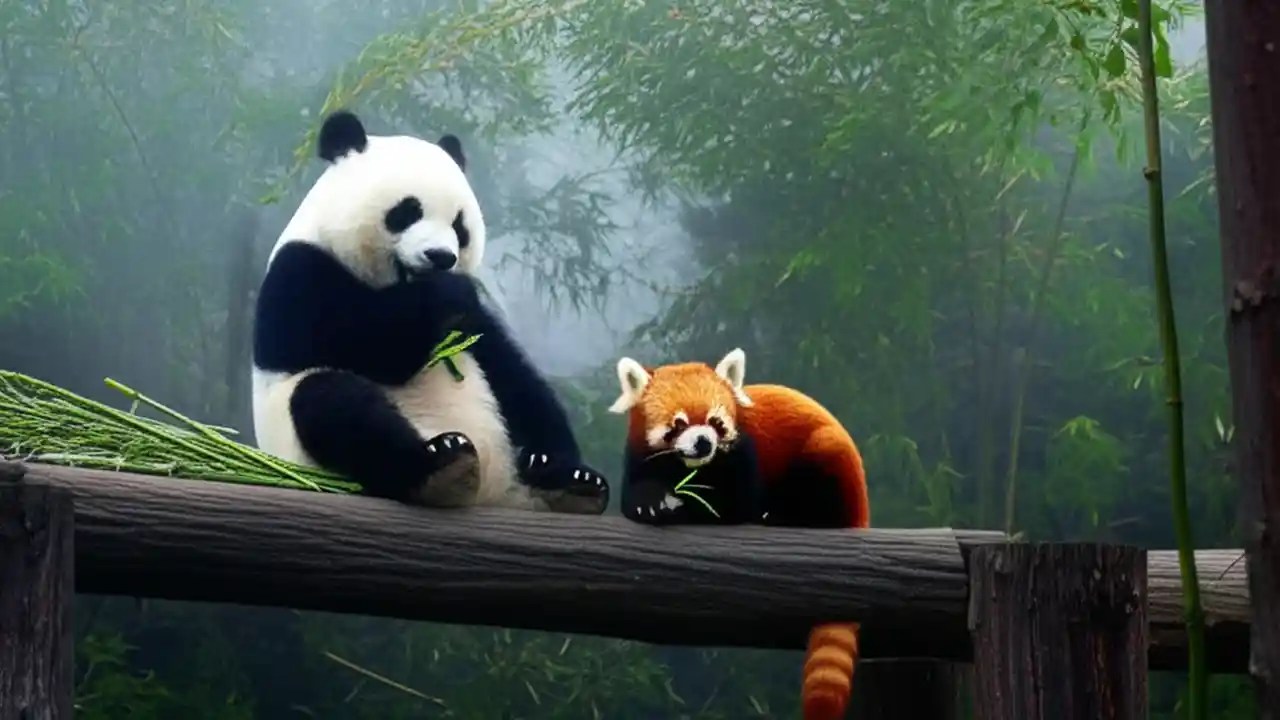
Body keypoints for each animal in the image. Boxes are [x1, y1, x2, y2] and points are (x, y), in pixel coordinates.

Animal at [249, 109, 609, 515]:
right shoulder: (299, 272)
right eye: (407, 212)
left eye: (459, 225)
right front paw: (442, 294)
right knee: (333, 405)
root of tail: (491, 493)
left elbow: (510, 366)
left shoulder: (474, 325)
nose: (440, 257)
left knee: (522, 392)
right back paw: (439, 464)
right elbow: (355, 344)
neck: (392, 288)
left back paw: (567, 479)